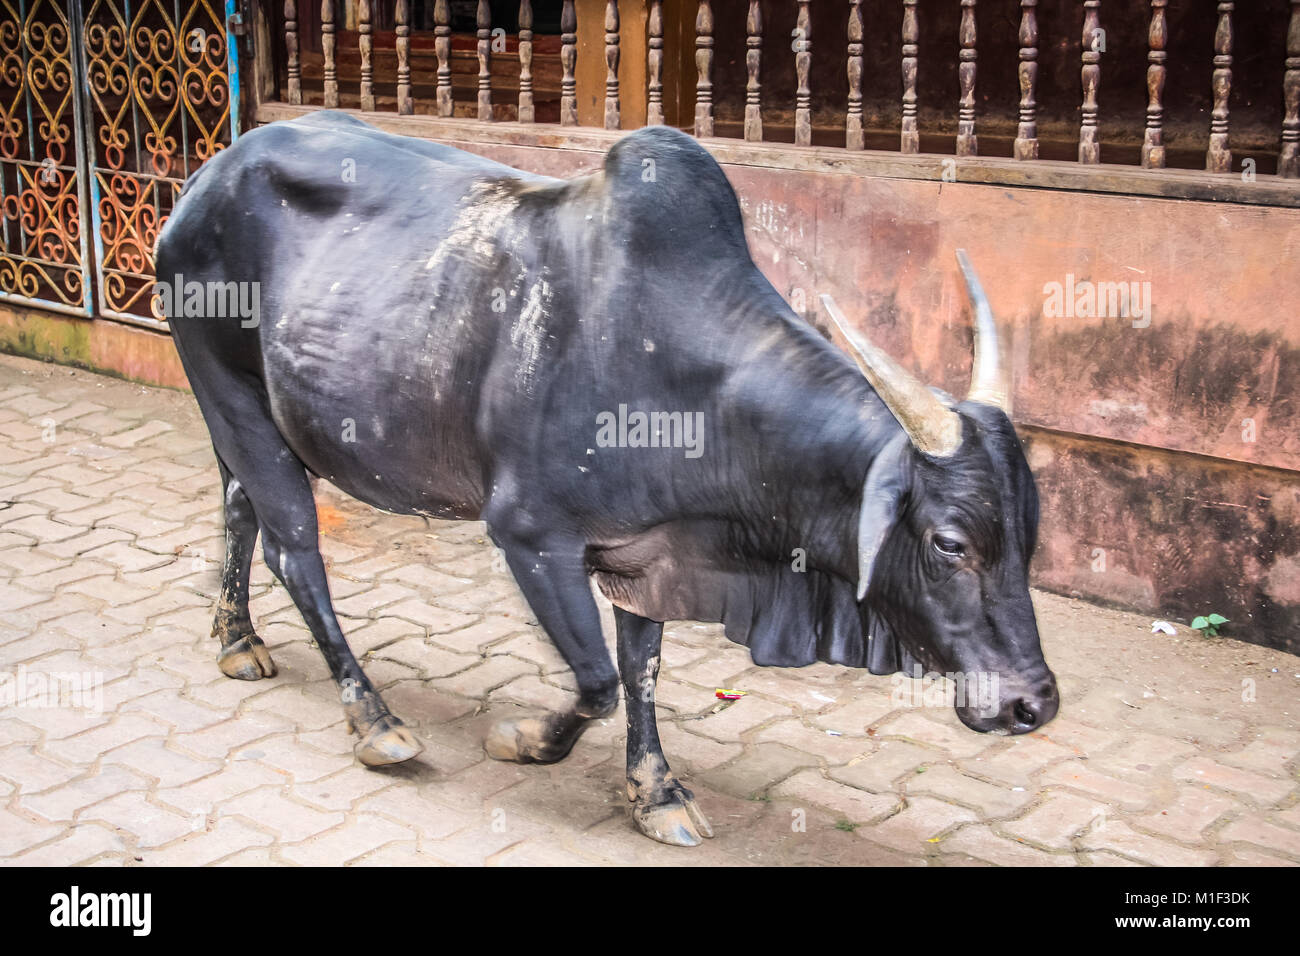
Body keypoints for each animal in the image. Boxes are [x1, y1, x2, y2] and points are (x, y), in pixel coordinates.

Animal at [157, 111, 1058, 847]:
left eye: (1030, 536)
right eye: (950, 543)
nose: (1033, 704)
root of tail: (209, 171)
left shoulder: (644, 554)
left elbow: (640, 674)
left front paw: (655, 792)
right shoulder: (530, 535)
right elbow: (594, 681)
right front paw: (525, 740)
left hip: (254, 417)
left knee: (238, 507)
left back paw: (237, 638)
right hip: (227, 391)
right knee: (295, 552)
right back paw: (374, 719)